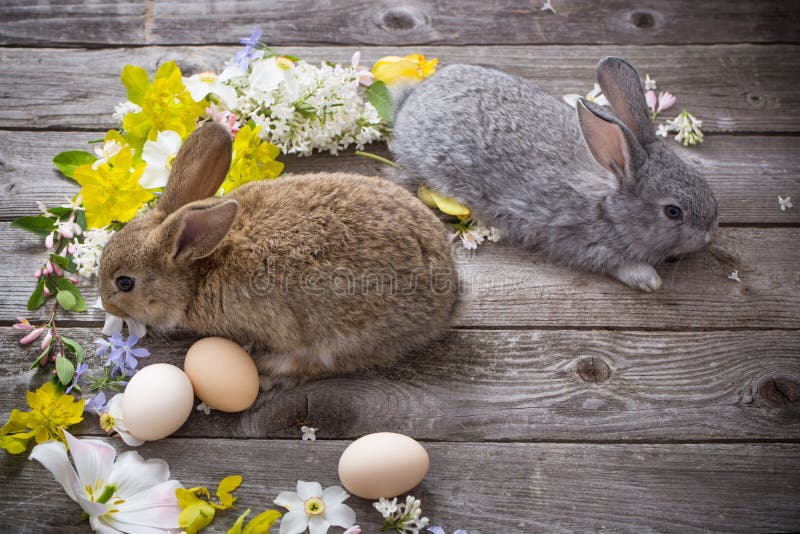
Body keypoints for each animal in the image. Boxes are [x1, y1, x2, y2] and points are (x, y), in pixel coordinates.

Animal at [98, 123, 458, 385]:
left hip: (341, 336)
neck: (198, 272)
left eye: (125, 283)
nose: (106, 305)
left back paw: (265, 366)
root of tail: (447, 302)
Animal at [388, 57, 719, 291]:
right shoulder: (578, 240)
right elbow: (614, 262)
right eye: (673, 211)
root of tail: (410, 100)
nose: (708, 234)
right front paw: (648, 278)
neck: (609, 204)